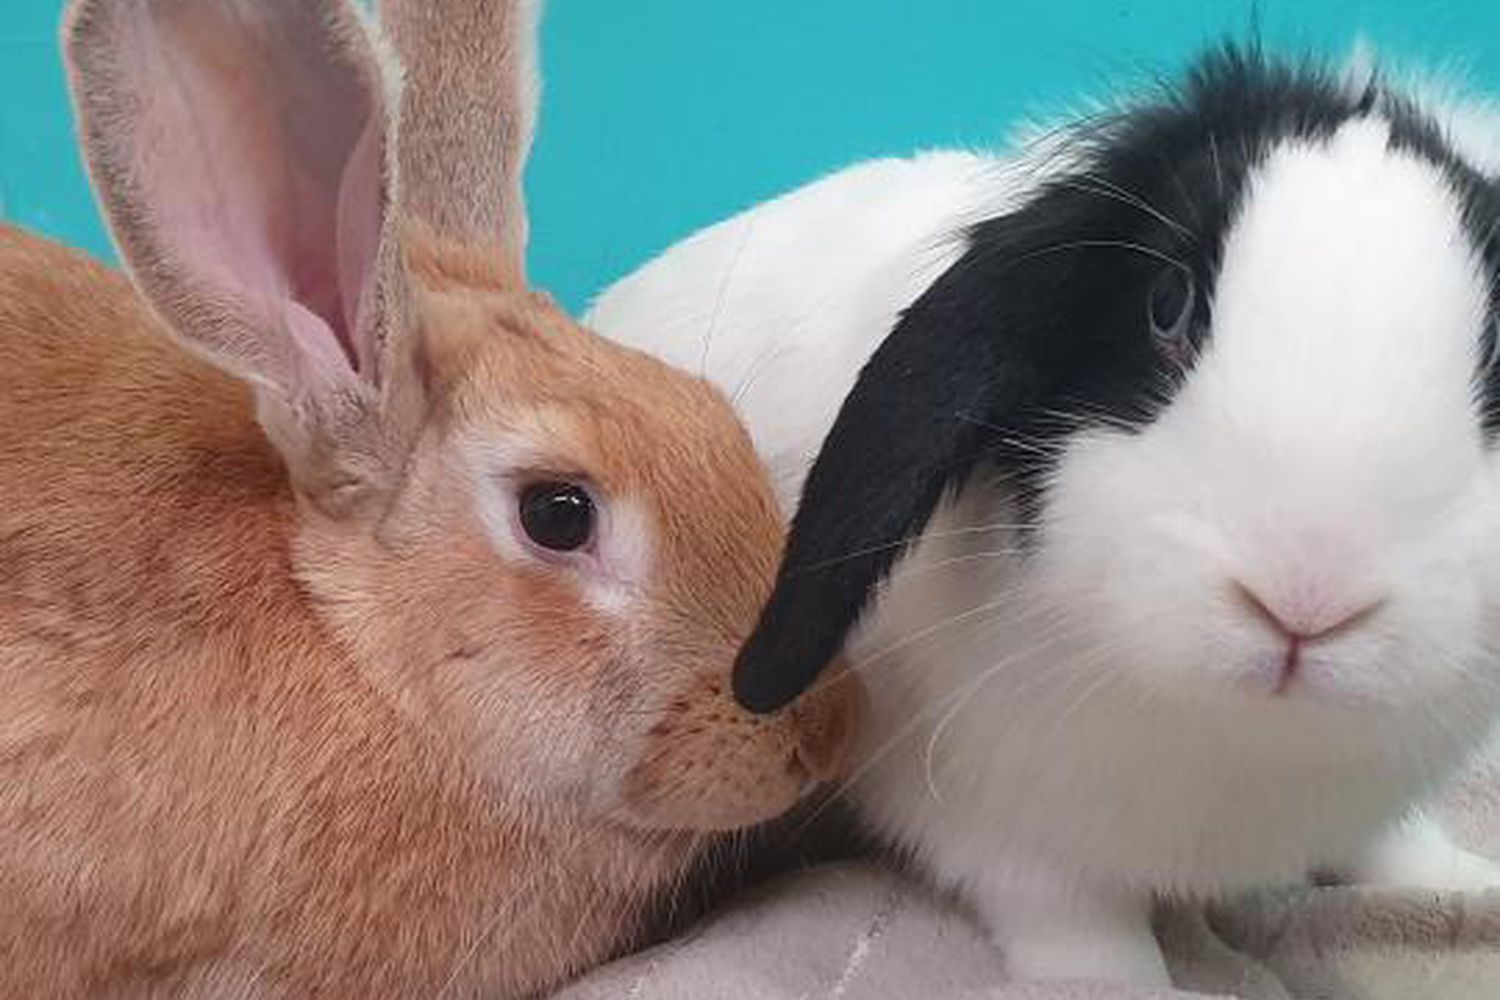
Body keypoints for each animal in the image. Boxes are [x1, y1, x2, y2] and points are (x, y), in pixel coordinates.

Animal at [590, 46, 1500, 985]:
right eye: (1167, 306)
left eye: (1497, 347)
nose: (1308, 601)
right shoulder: (997, 828)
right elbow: (1075, 919)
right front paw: (1124, 985)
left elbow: (1387, 847)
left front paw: (1463, 883)